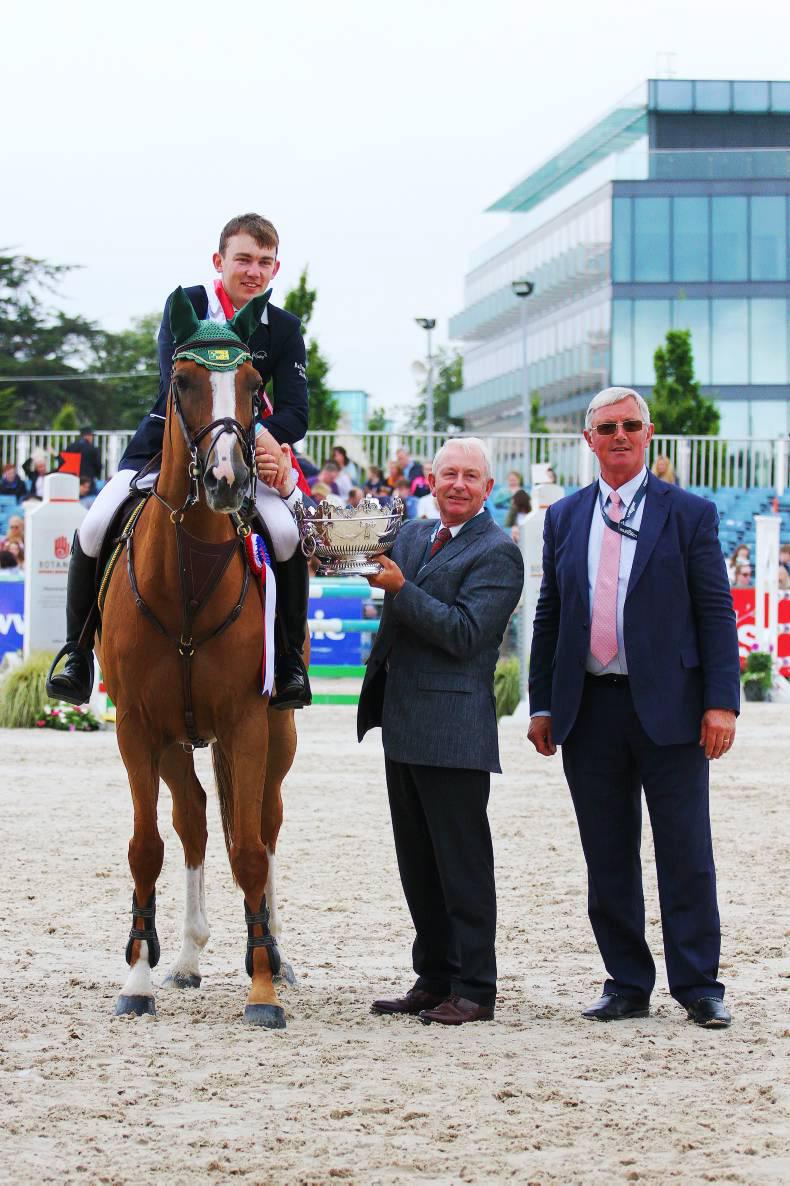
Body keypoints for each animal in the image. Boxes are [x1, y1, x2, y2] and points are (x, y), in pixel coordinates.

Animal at [97, 287, 300, 1028]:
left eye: (254, 382)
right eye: (181, 381)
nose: (226, 479)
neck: (187, 577)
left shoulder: (245, 723)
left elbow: (249, 849)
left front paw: (263, 986)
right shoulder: (136, 727)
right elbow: (147, 847)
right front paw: (137, 977)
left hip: (276, 736)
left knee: (262, 825)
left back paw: (271, 952)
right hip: (174, 740)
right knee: (191, 820)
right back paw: (184, 957)